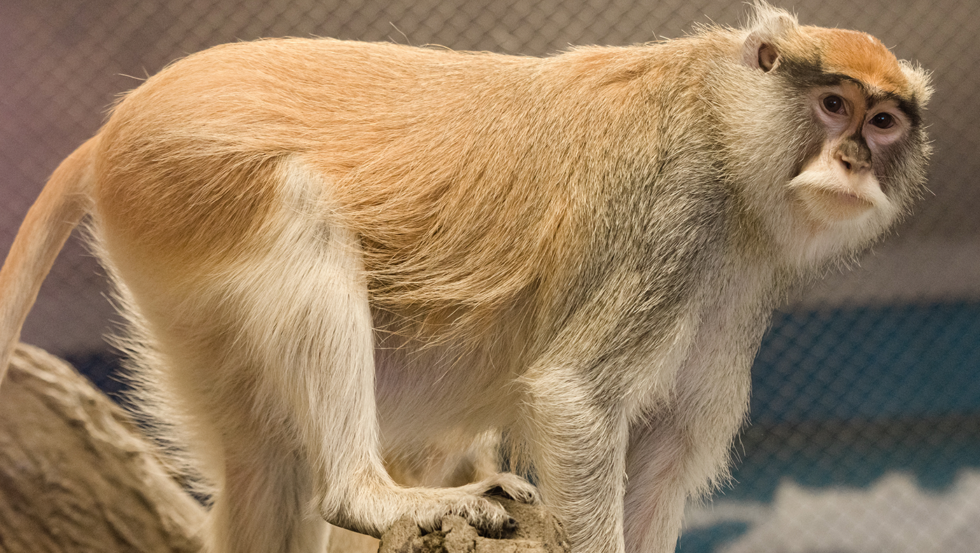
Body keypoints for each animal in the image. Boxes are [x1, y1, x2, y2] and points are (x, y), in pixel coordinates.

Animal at [0, 3, 931, 553]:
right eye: (834, 105)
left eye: (885, 121)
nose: (855, 158)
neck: (721, 116)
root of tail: (115, 129)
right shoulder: (674, 215)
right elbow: (576, 399)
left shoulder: (734, 279)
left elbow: (668, 445)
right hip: (186, 182)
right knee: (302, 209)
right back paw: (374, 496)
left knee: (268, 465)